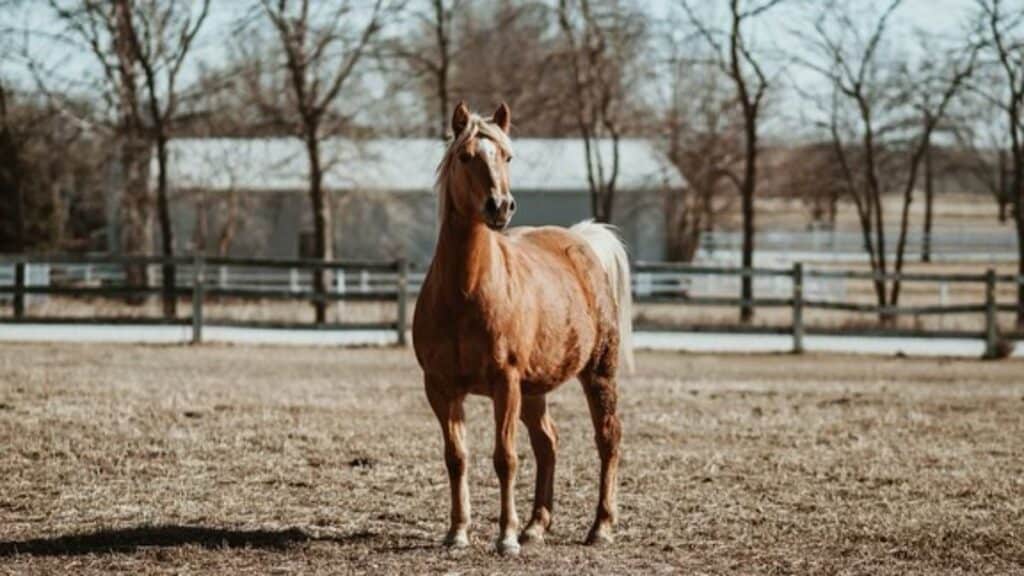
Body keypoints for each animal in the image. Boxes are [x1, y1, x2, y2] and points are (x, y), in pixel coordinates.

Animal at [412, 101, 634, 556]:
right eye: (466, 157)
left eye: (508, 156)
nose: (500, 206)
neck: (466, 292)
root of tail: (582, 243)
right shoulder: (440, 388)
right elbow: (456, 457)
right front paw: (458, 532)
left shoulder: (506, 382)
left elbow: (506, 458)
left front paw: (506, 537)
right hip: (536, 388)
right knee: (548, 443)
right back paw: (536, 526)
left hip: (598, 374)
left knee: (608, 438)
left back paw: (600, 526)